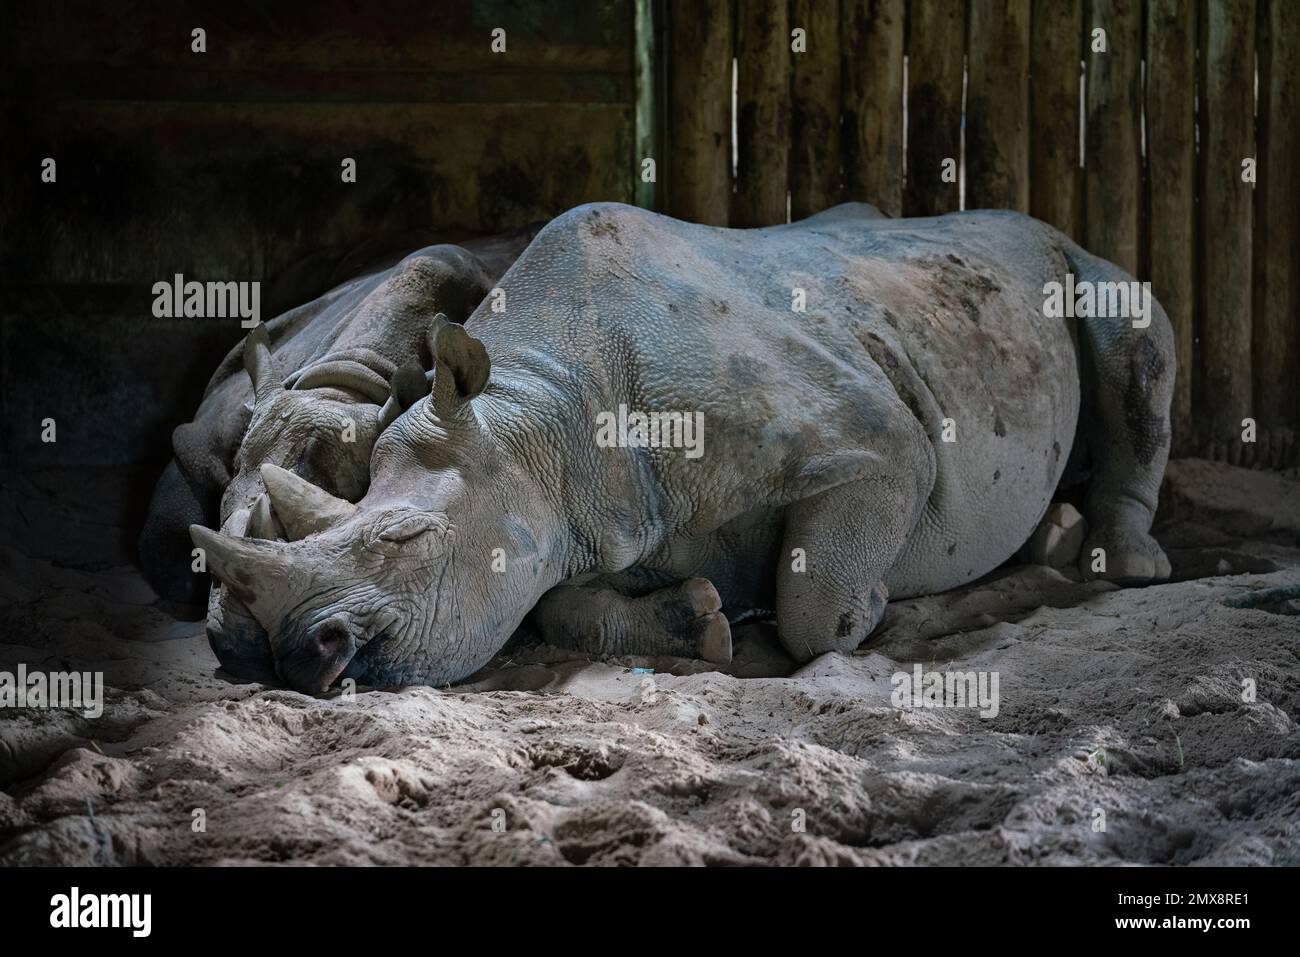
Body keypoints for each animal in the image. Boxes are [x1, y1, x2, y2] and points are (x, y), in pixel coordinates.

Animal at [190, 202, 1174, 694]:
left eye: (405, 541)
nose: (290, 656)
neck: (546, 413)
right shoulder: (588, 510)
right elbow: (559, 608)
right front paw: (702, 619)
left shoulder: (884, 445)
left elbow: (818, 600)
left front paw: (861, 608)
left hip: (1068, 263)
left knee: (1130, 331)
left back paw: (1124, 565)